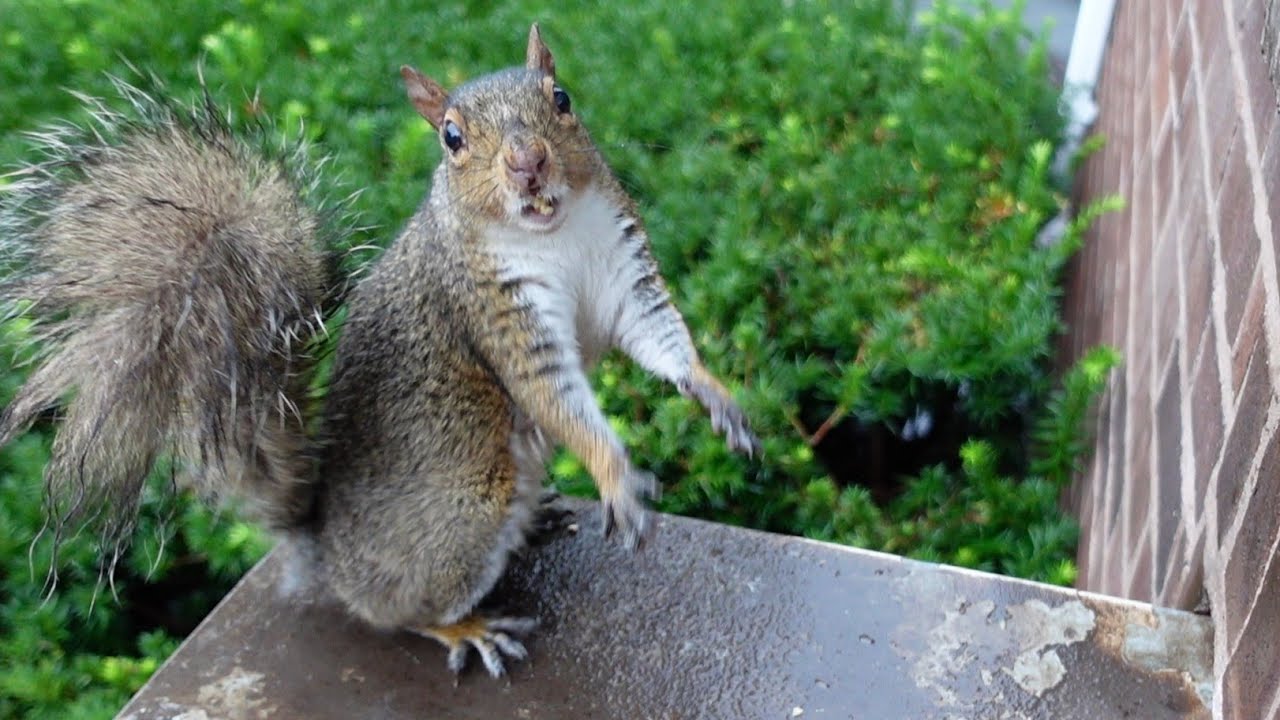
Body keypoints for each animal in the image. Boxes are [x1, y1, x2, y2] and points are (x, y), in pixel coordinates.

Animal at [0, 24, 758, 677]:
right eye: (451, 136)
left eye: (562, 99)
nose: (528, 163)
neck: (557, 232)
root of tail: (324, 550)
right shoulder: (494, 312)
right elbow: (554, 396)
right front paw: (615, 476)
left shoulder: (625, 276)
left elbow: (660, 339)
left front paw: (716, 396)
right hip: (464, 516)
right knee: (389, 613)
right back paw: (465, 628)